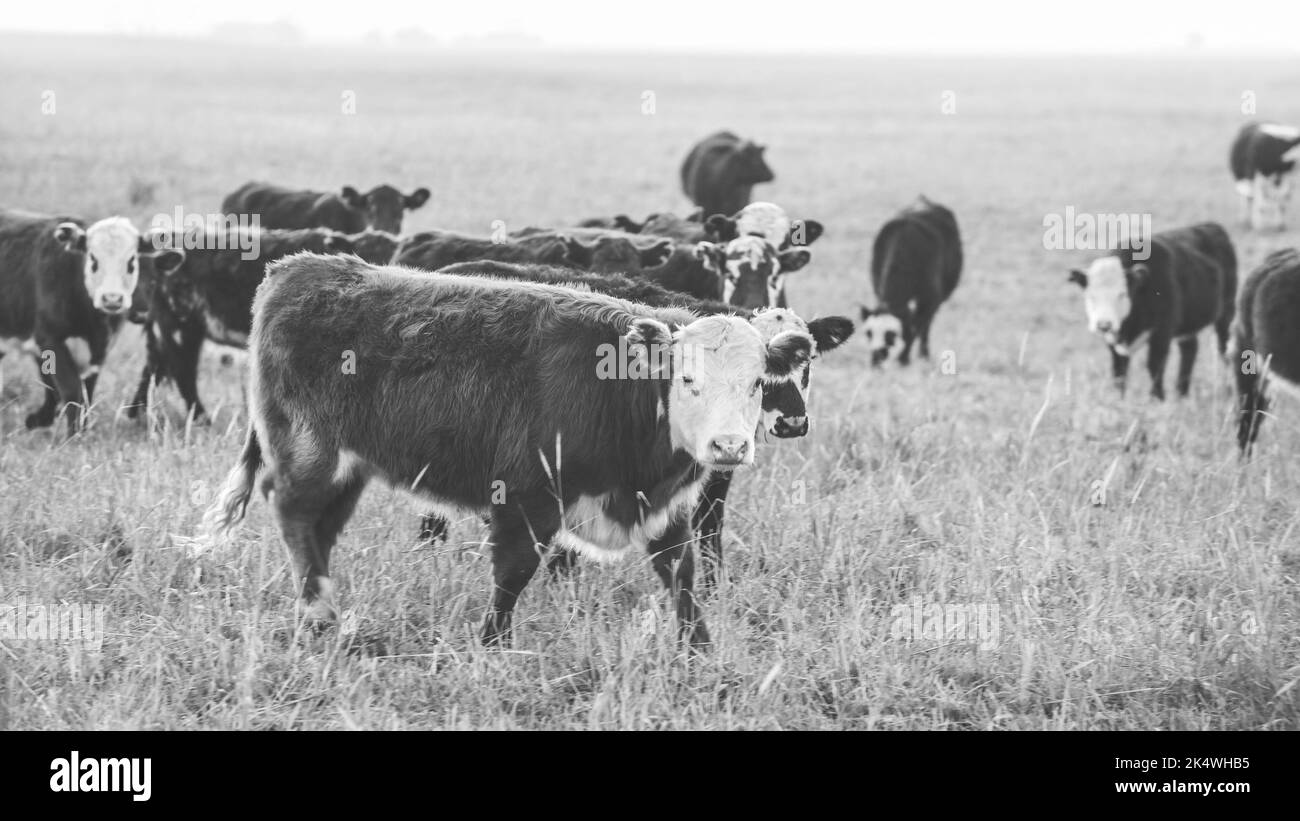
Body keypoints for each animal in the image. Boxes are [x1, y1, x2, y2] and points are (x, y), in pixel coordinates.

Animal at [0, 210, 184, 432]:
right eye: (93, 259)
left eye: (131, 261)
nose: (112, 298)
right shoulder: (49, 338)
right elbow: (71, 390)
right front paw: (72, 434)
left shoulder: (99, 349)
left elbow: (84, 391)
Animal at [203, 253, 814, 649]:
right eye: (687, 379)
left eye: (758, 383)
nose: (728, 445)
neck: (621, 390)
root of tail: (297, 267)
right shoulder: (526, 496)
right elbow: (514, 572)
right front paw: (493, 644)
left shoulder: (669, 509)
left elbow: (681, 574)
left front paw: (699, 650)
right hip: (309, 451)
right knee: (295, 516)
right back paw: (317, 615)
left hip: (349, 465)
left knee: (321, 530)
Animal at [861, 197, 963, 367]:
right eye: (868, 333)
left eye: (890, 335)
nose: (876, 360)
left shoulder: (931, 298)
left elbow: (917, 326)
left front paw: (904, 358)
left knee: (926, 325)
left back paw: (924, 354)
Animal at [1069, 222, 1236, 400]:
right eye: (1091, 296)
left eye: (1122, 294)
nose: (1104, 324)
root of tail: (1210, 225)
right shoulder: (1113, 343)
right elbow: (1119, 373)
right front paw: (1119, 401)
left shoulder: (1162, 332)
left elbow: (1154, 366)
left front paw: (1157, 399)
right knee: (1189, 349)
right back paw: (1181, 394)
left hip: (1226, 312)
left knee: (1225, 347)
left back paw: (1229, 388)